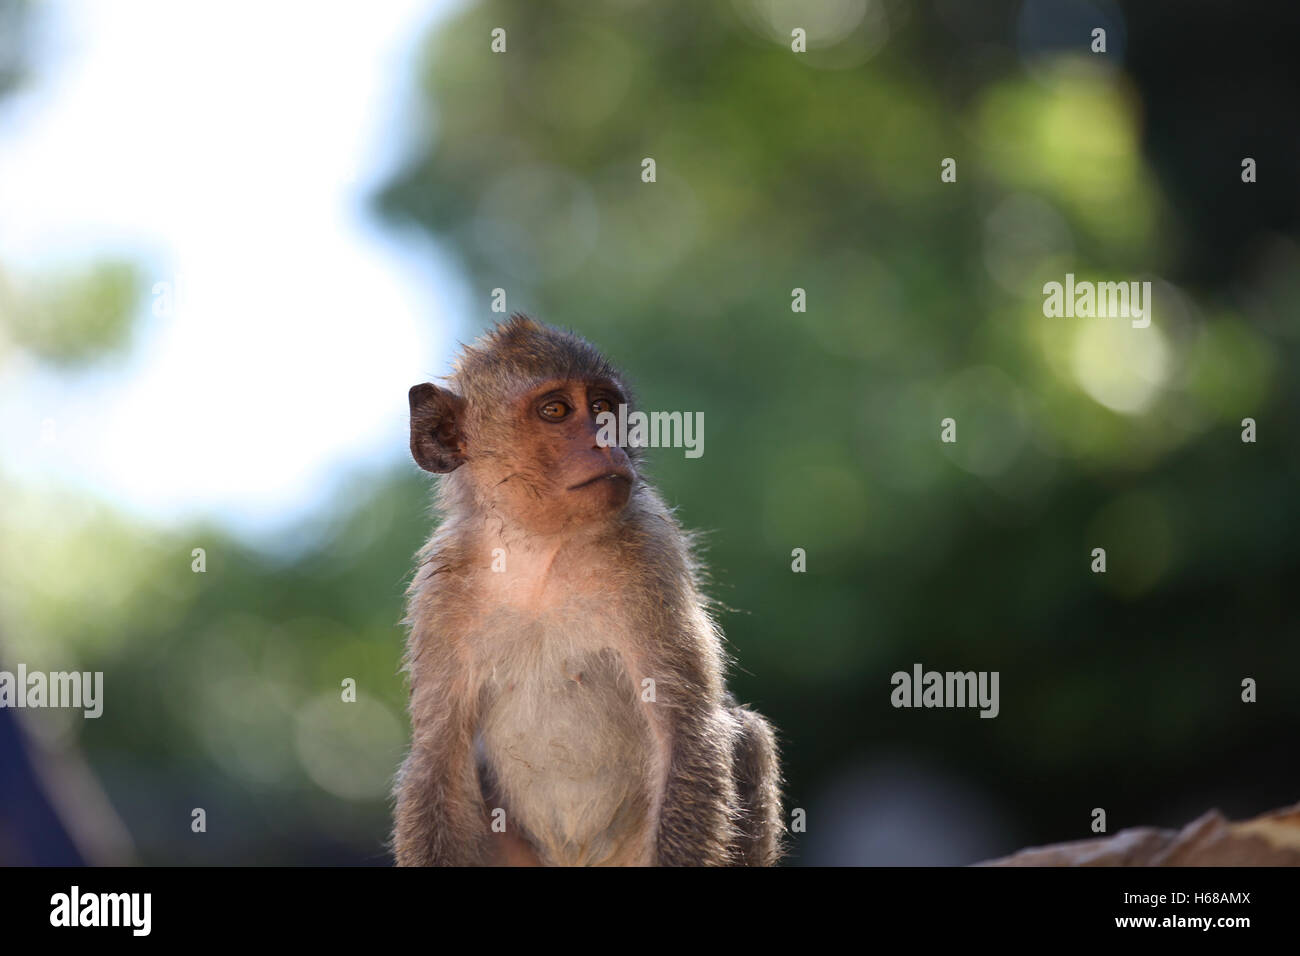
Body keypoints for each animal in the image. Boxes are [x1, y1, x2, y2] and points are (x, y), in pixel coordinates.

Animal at [392, 314, 783, 866]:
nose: (606, 442)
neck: (540, 551)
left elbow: (688, 730)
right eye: (555, 410)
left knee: (746, 736)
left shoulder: (651, 551)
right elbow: (438, 756)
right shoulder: (440, 591)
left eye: (602, 408)